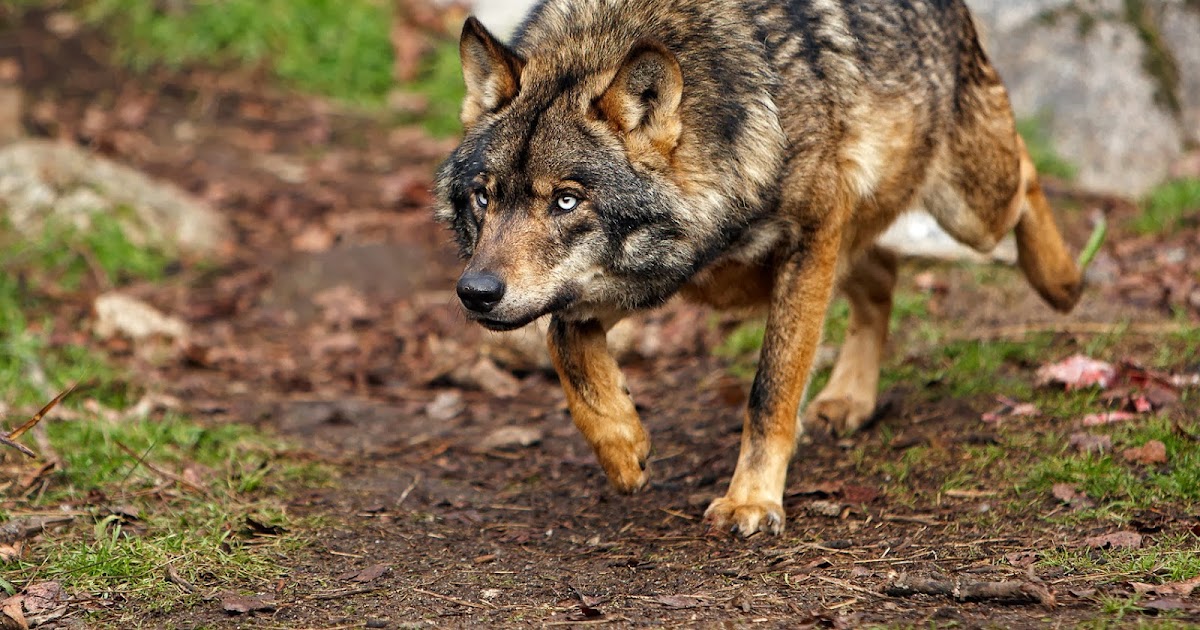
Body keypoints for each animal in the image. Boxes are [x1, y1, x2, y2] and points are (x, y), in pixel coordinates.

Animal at [434, 0, 1082, 536]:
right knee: (881, 275)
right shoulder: (662, 273)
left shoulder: (810, 239)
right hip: (854, 236)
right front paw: (623, 447)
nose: (475, 292)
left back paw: (1064, 282)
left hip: (967, 208)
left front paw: (752, 500)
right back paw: (849, 399)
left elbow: (771, 388)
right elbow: (566, 341)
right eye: (484, 197)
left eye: (566, 200)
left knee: (1026, 174)